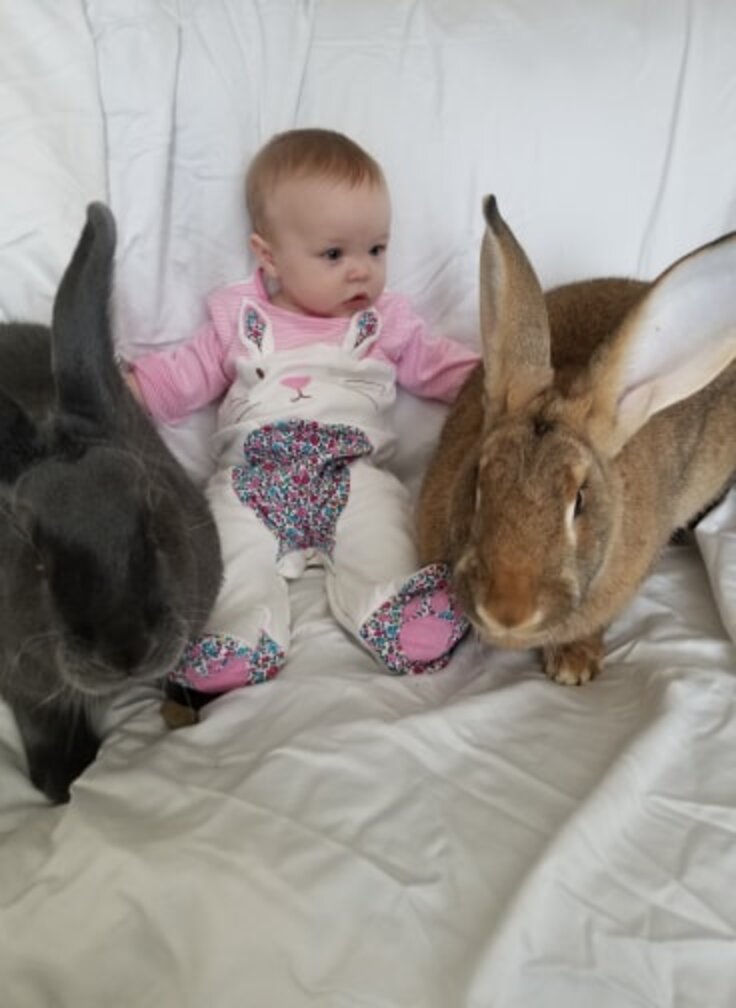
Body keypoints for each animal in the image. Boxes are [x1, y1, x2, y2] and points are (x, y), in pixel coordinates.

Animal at [0, 203, 222, 802]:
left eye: (153, 528)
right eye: (37, 562)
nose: (127, 649)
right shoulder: (22, 683)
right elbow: (42, 719)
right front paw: (63, 782)